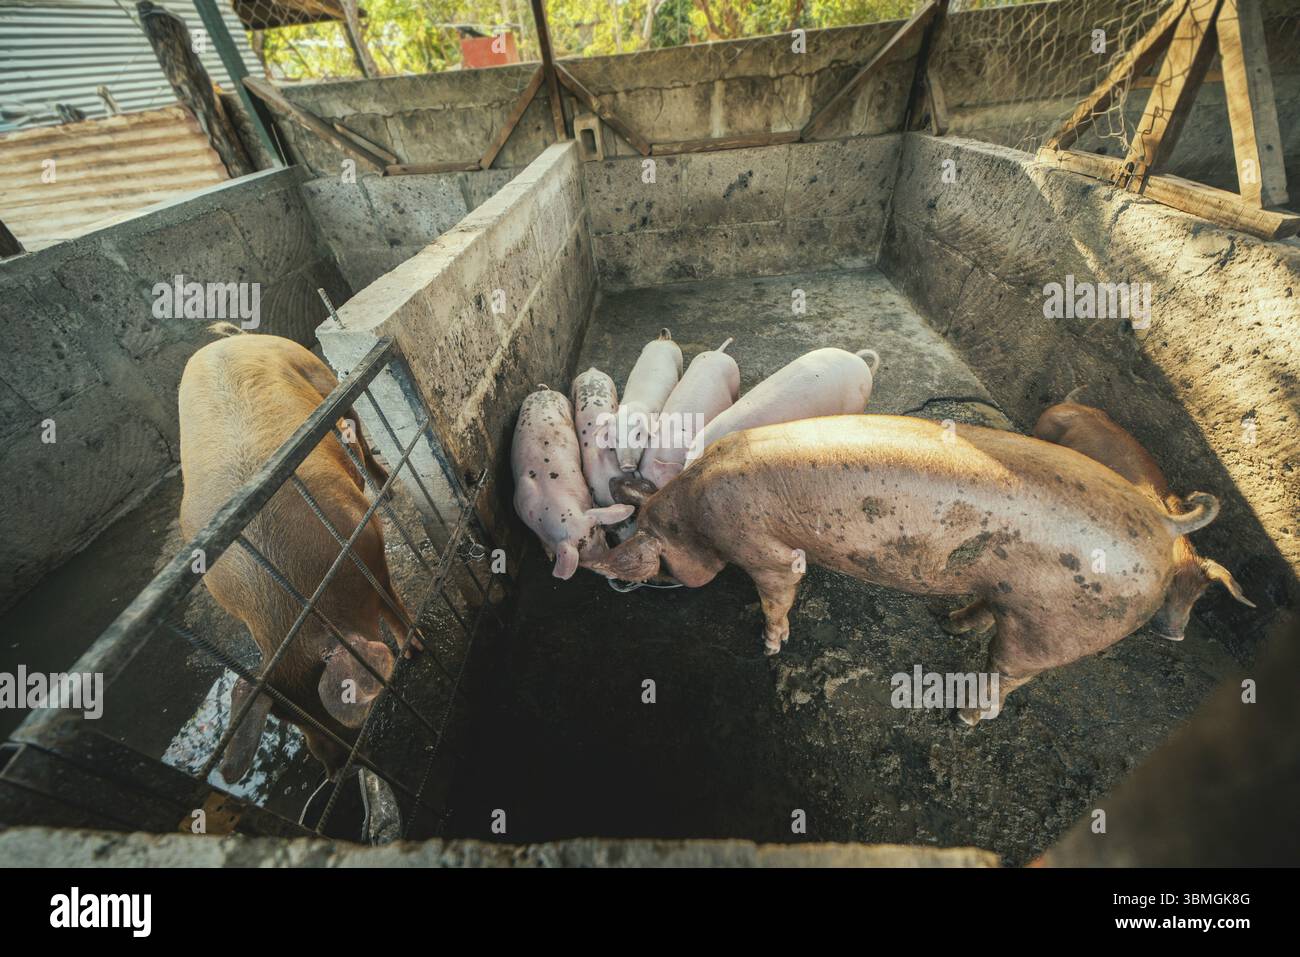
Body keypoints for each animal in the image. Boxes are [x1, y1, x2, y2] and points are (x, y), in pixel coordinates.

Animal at [179, 328, 412, 784]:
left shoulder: (369, 540)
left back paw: (386, 489)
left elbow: (391, 599)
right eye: (289, 719)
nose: (336, 772)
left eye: (331, 709)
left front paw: (413, 648)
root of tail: (232, 339)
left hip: (324, 377)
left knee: (358, 430)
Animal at [512, 385, 633, 579]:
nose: (611, 574)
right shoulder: (519, 506)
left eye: (602, 533)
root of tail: (543, 391)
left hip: (566, 402)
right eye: (583, 561)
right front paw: (549, 555)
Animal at [594, 415, 1221, 725]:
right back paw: (948, 622)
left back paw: (964, 716)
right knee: (987, 616)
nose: (623, 583)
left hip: (1060, 622)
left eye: (656, 563)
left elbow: (779, 593)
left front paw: (769, 646)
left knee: (1010, 672)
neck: (693, 516)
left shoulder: (763, 549)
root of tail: (1166, 525)